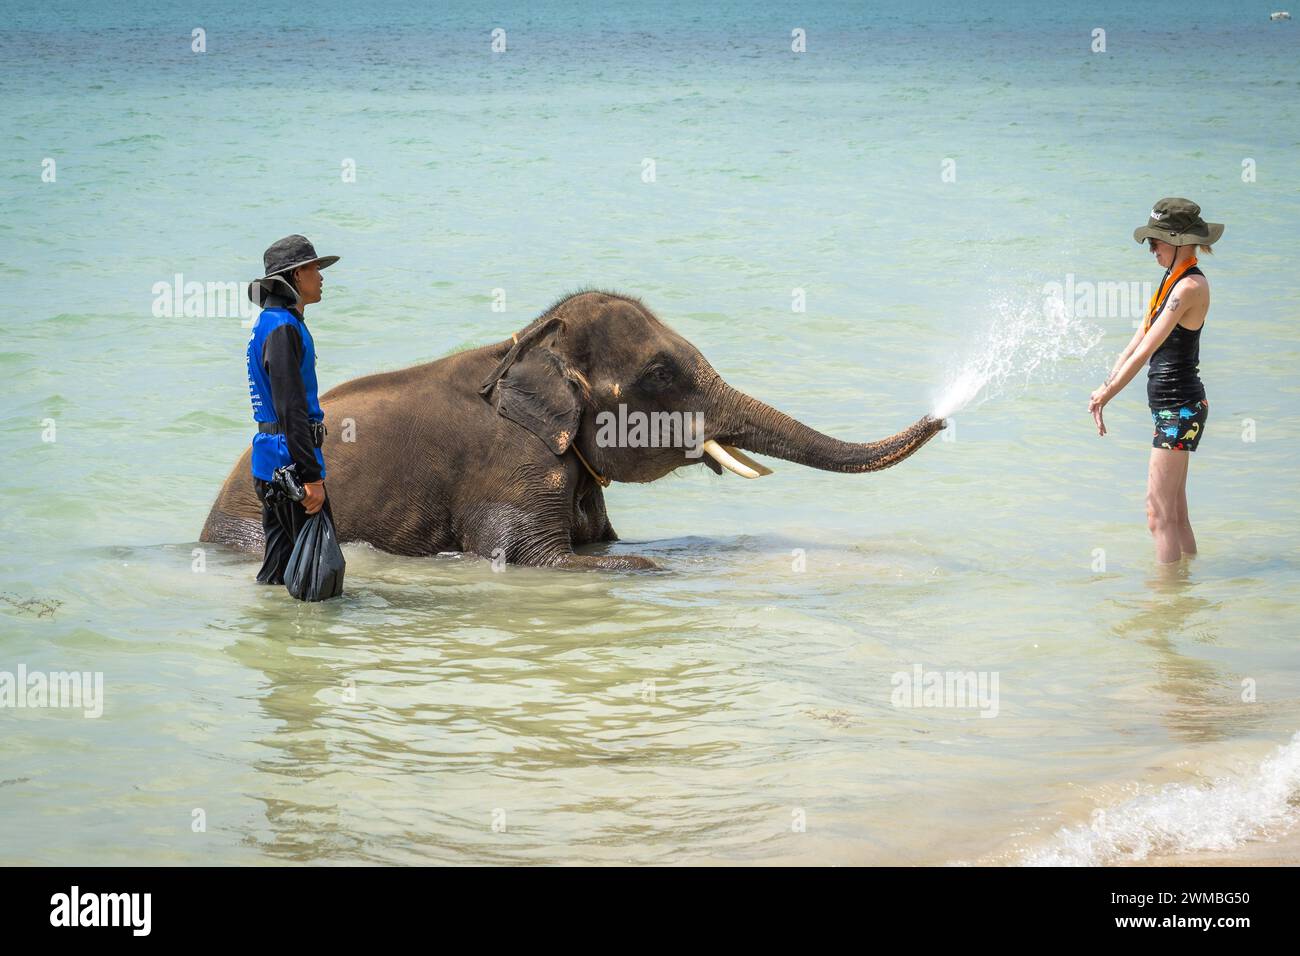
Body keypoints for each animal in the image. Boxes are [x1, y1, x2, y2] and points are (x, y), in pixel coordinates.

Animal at [201, 290, 946, 570]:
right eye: (660, 375)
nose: (943, 414)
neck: (525, 343)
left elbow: (602, 542)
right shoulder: (510, 464)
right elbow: (532, 558)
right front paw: (648, 569)